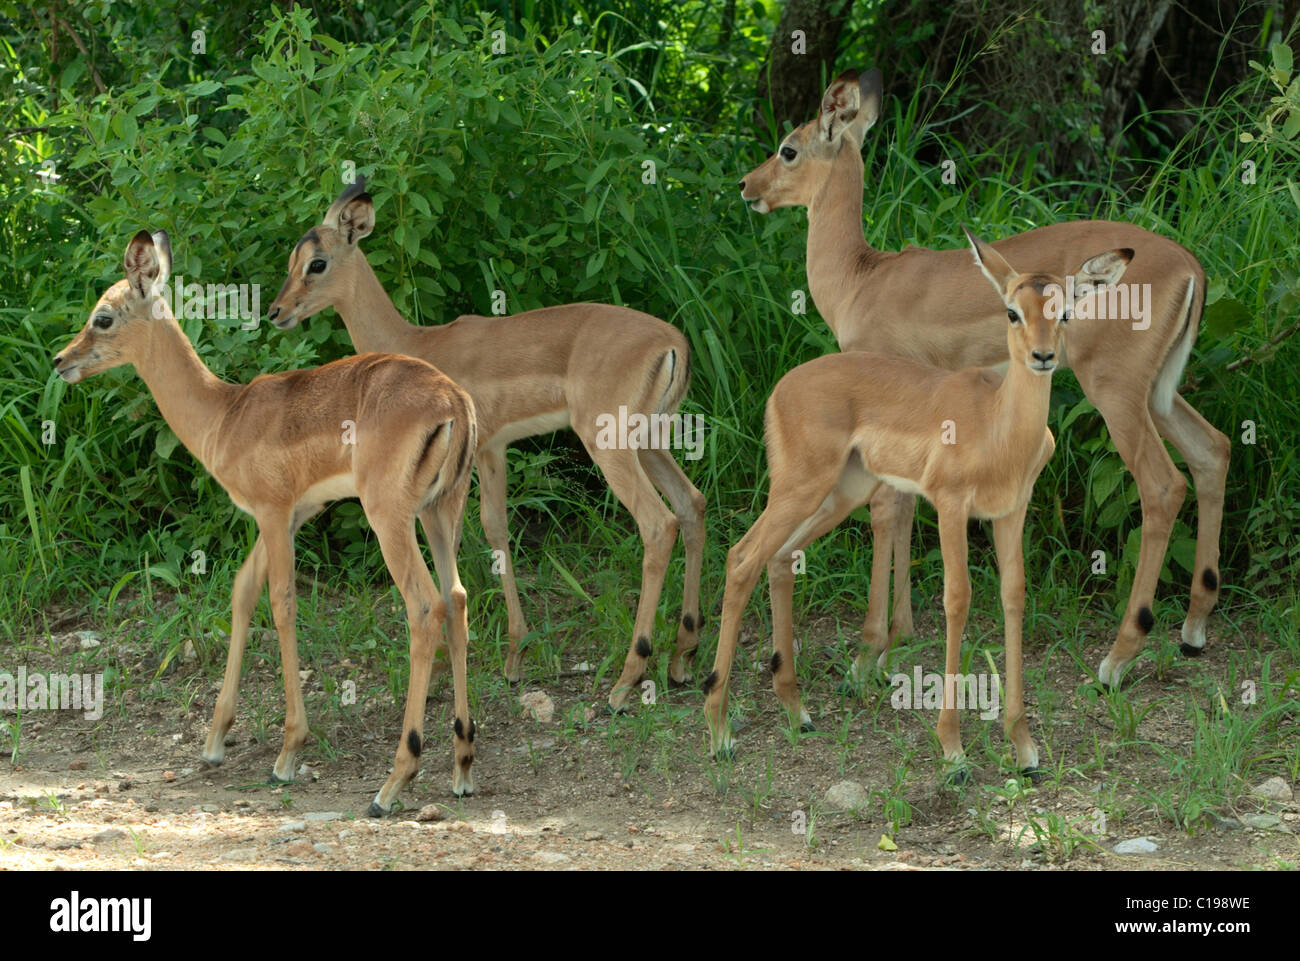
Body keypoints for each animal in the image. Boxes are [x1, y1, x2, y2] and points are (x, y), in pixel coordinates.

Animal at [53, 230, 478, 816]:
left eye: (103, 316)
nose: (60, 360)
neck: (225, 415)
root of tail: (453, 400)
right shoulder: (290, 515)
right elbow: (242, 589)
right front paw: (214, 741)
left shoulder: (275, 514)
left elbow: (281, 603)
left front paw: (288, 753)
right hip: (442, 511)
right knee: (456, 598)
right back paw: (461, 766)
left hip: (390, 517)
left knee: (424, 605)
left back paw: (392, 784)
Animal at [267, 178, 706, 711]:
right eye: (293, 258)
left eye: (317, 262)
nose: (276, 312)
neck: (417, 344)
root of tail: (673, 342)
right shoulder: (494, 451)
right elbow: (497, 530)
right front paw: (515, 657)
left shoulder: (465, 463)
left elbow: (461, 541)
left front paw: (452, 666)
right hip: (651, 440)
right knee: (692, 504)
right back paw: (682, 657)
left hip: (612, 446)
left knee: (658, 524)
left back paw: (626, 681)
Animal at [702, 228, 1132, 773]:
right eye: (1012, 311)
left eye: (1067, 312)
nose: (1042, 356)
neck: (998, 426)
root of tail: (780, 390)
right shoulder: (950, 506)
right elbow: (958, 598)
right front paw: (952, 750)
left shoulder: (1010, 511)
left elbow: (1013, 596)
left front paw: (1024, 745)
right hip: (800, 488)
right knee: (741, 558)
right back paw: (719, 731)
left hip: (840, 493)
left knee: (778, 558)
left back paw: (797, 711)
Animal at [740, 69, 1230, 688]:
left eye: (789, 148)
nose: (746, 186)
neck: (860, 278)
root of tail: (1192, 268)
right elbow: (904, 508)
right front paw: (896, 638)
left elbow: (886, 512)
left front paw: (871, 650)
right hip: (1160, 393)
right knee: (1213, 450)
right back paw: (1192, 632)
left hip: (1116, 393)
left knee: (1163, 486)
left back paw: (1117, 658)